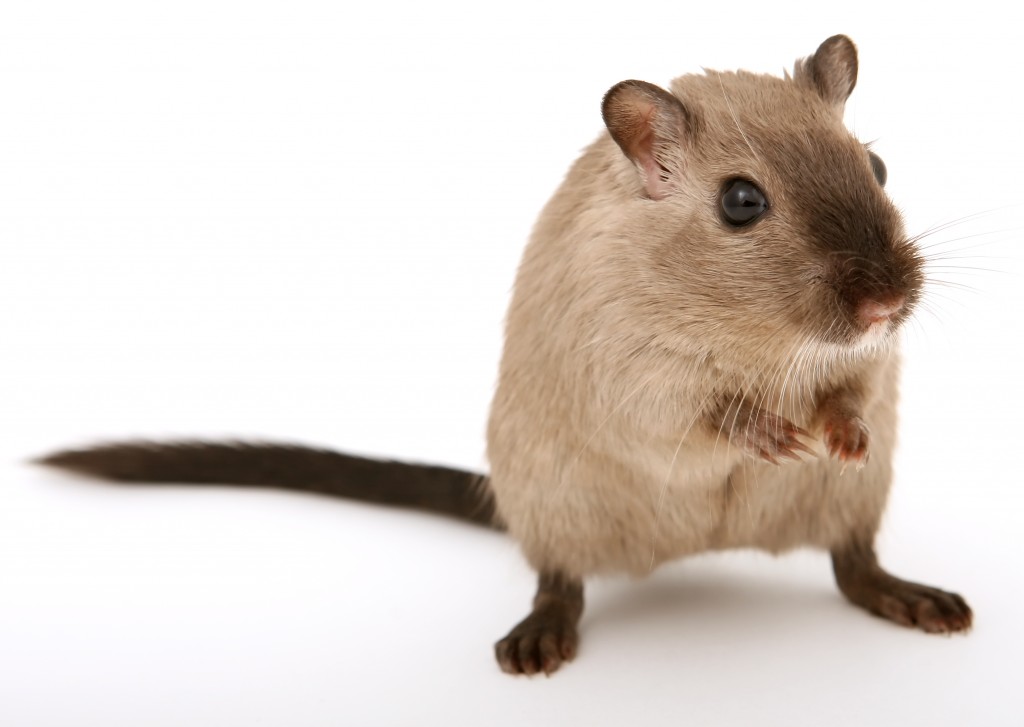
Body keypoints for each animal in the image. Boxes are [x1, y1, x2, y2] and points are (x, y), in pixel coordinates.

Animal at [39, 35, 972, 677]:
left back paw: (922, 600)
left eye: (876, 166)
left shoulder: (864, 361)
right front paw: (773, 433)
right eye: (742, 202)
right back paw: (535, 641)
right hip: (552, 503)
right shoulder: (630, 374)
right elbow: (696, 417)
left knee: (853, 565)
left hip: (850, 506)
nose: (886, 303)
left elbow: (854, 385)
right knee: (560, 578)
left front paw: (843, 433)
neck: (758, 337)